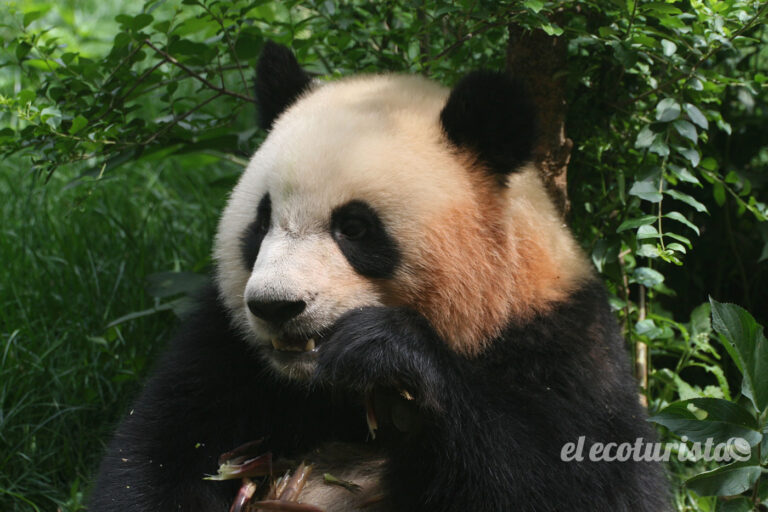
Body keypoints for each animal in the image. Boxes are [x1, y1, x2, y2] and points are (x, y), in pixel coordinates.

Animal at [90, 42, 668, 512]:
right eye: (262, 221)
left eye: (354, 227)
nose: (276, 306)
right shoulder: (226, 349)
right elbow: (155, 457)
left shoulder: (561, 342)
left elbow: (584, 480)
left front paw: (384, 349)